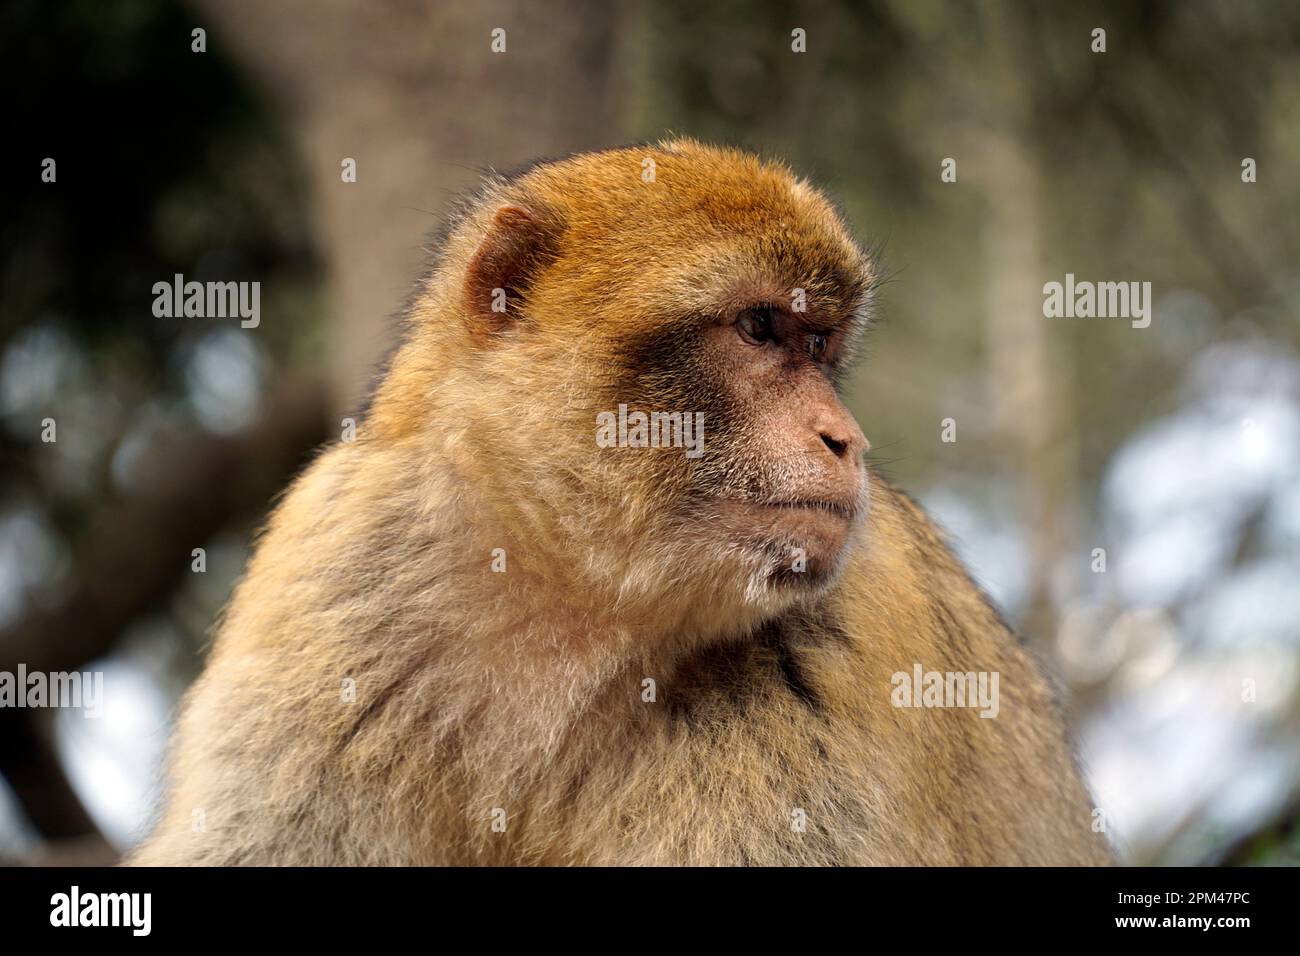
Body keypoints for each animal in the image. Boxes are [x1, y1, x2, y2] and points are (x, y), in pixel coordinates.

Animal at [131, 139, 1111, 866]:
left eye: (819, 345)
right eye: (761, 328)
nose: (847, 439)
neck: (573, 599)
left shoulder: (830, 650)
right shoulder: (325, 580)